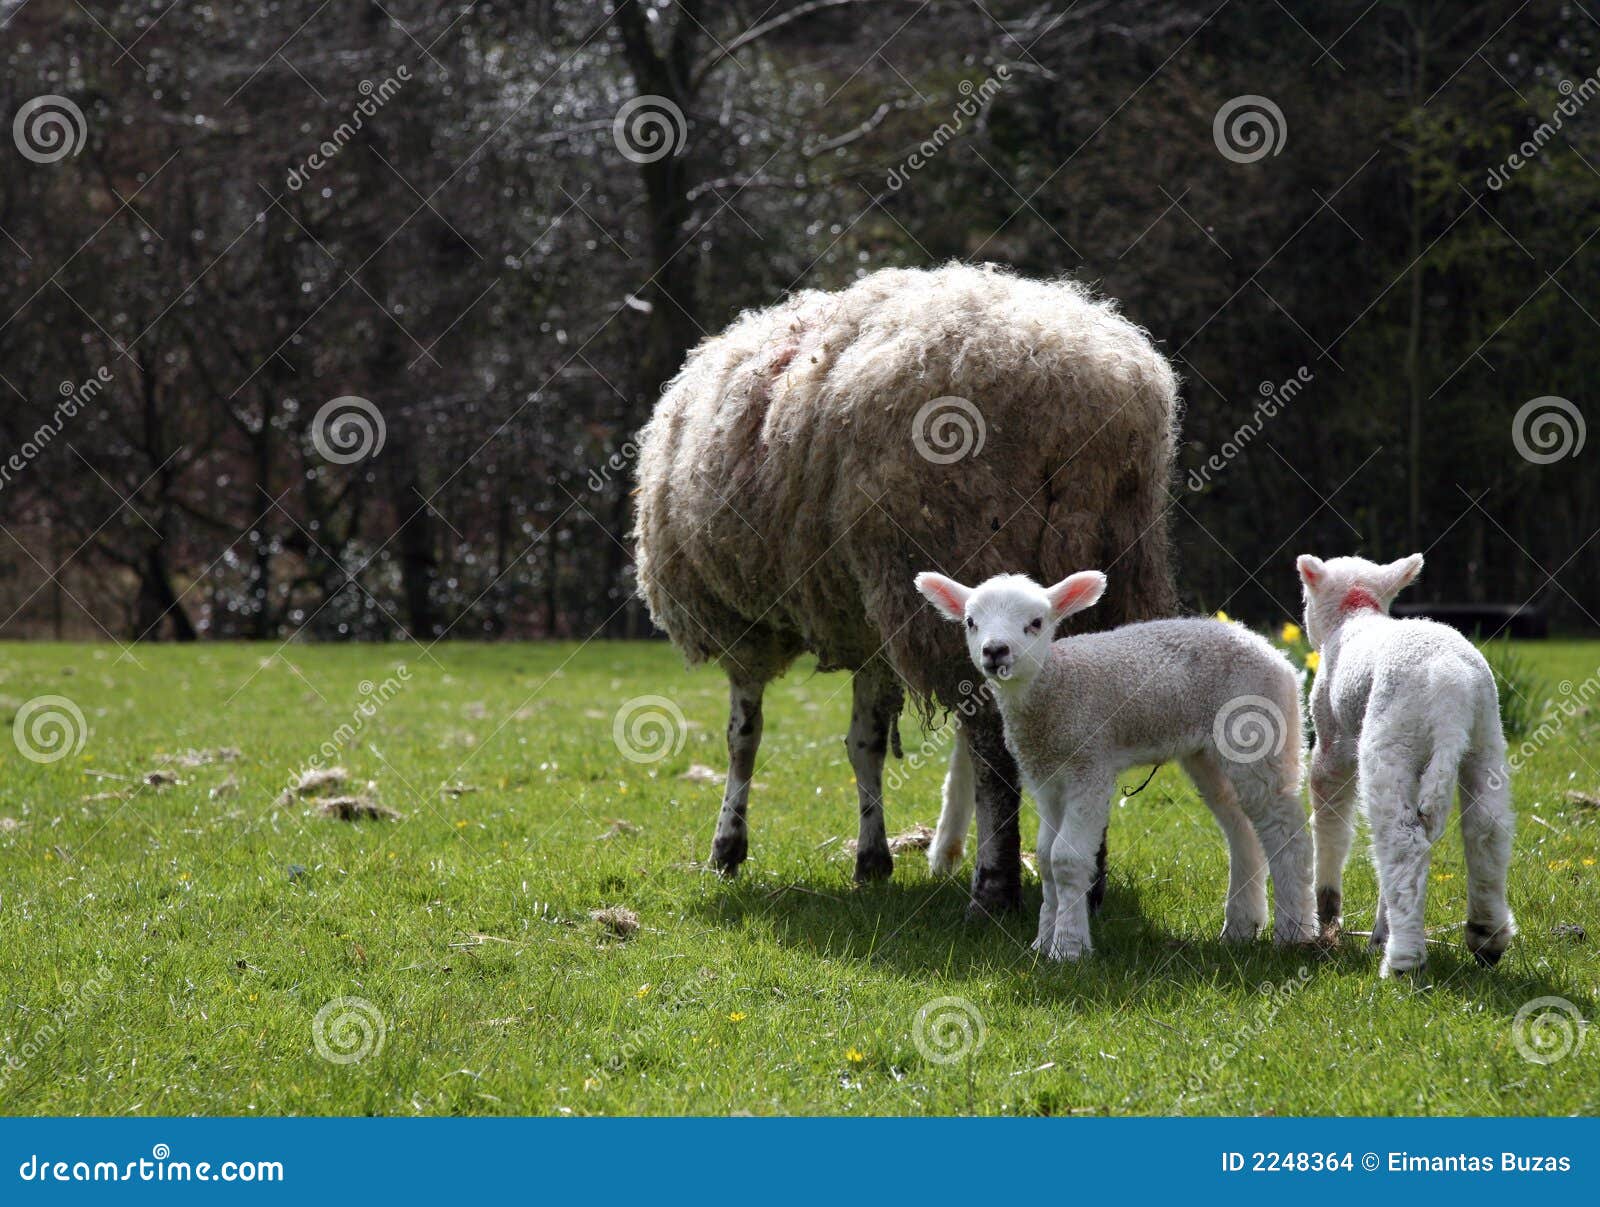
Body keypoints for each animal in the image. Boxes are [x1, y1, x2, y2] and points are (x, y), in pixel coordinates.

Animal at [632, 262, 1179, 912]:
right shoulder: (870, 624)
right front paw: (872, 858)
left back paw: (993, 888)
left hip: (962, 562)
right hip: (1111, 574)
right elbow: (863, 741)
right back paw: (1085, 884)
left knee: (993, 752)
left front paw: (728, 847)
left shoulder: (746, 629)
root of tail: (1083, 389)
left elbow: (744, 737)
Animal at [915, 569, 1318, 959]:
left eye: (1036, 622)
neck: (1054, 685)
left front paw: (1068, 949)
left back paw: (1294, 933)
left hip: (1260, 733)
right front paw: (1042, 942)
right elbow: (1045, 857)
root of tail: (1273, 653)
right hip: (1207, 753)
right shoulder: (1045, 778)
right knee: (1242, 827)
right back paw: (1240, 928)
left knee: (1285, 830)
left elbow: (1066, 858)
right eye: (970, 622)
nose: (995, 650)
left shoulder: (1089, 765)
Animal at [1296, 553, 1516, 976]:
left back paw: (1403, 960)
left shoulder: (1331, 741)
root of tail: (1450, 690)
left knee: (1401, 841)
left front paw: (1328, 913)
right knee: (1486, 830)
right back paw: (1486, 937)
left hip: (1389, 741)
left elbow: (1331, 821)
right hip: (1485, 737)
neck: (1355, 613)